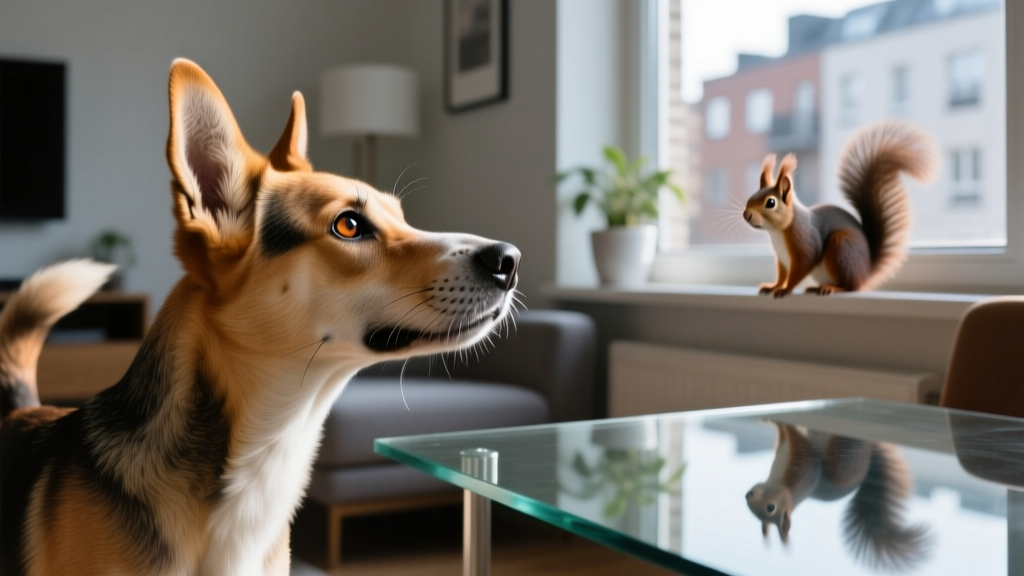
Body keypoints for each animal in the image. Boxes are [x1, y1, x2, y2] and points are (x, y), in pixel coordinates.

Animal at [742, 120, 937, 297]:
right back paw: (816, 287)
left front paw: (785, 290)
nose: (746, 215)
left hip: (841, 248)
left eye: (771, 203)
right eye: (751, 196)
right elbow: (782, 275)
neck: (777, 232)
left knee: (852, 287)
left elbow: (801, 267)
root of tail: (865, 273)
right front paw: (773, 286)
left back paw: (832, 288)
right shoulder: (782, 259)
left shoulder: (805, 242)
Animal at [745, 423, 930, 572]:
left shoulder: (802, 468)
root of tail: (867, 458)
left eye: (770, 508)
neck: (781, 484)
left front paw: (778, 423)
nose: (748, 495)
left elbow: (791, 439)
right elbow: (792, 440)